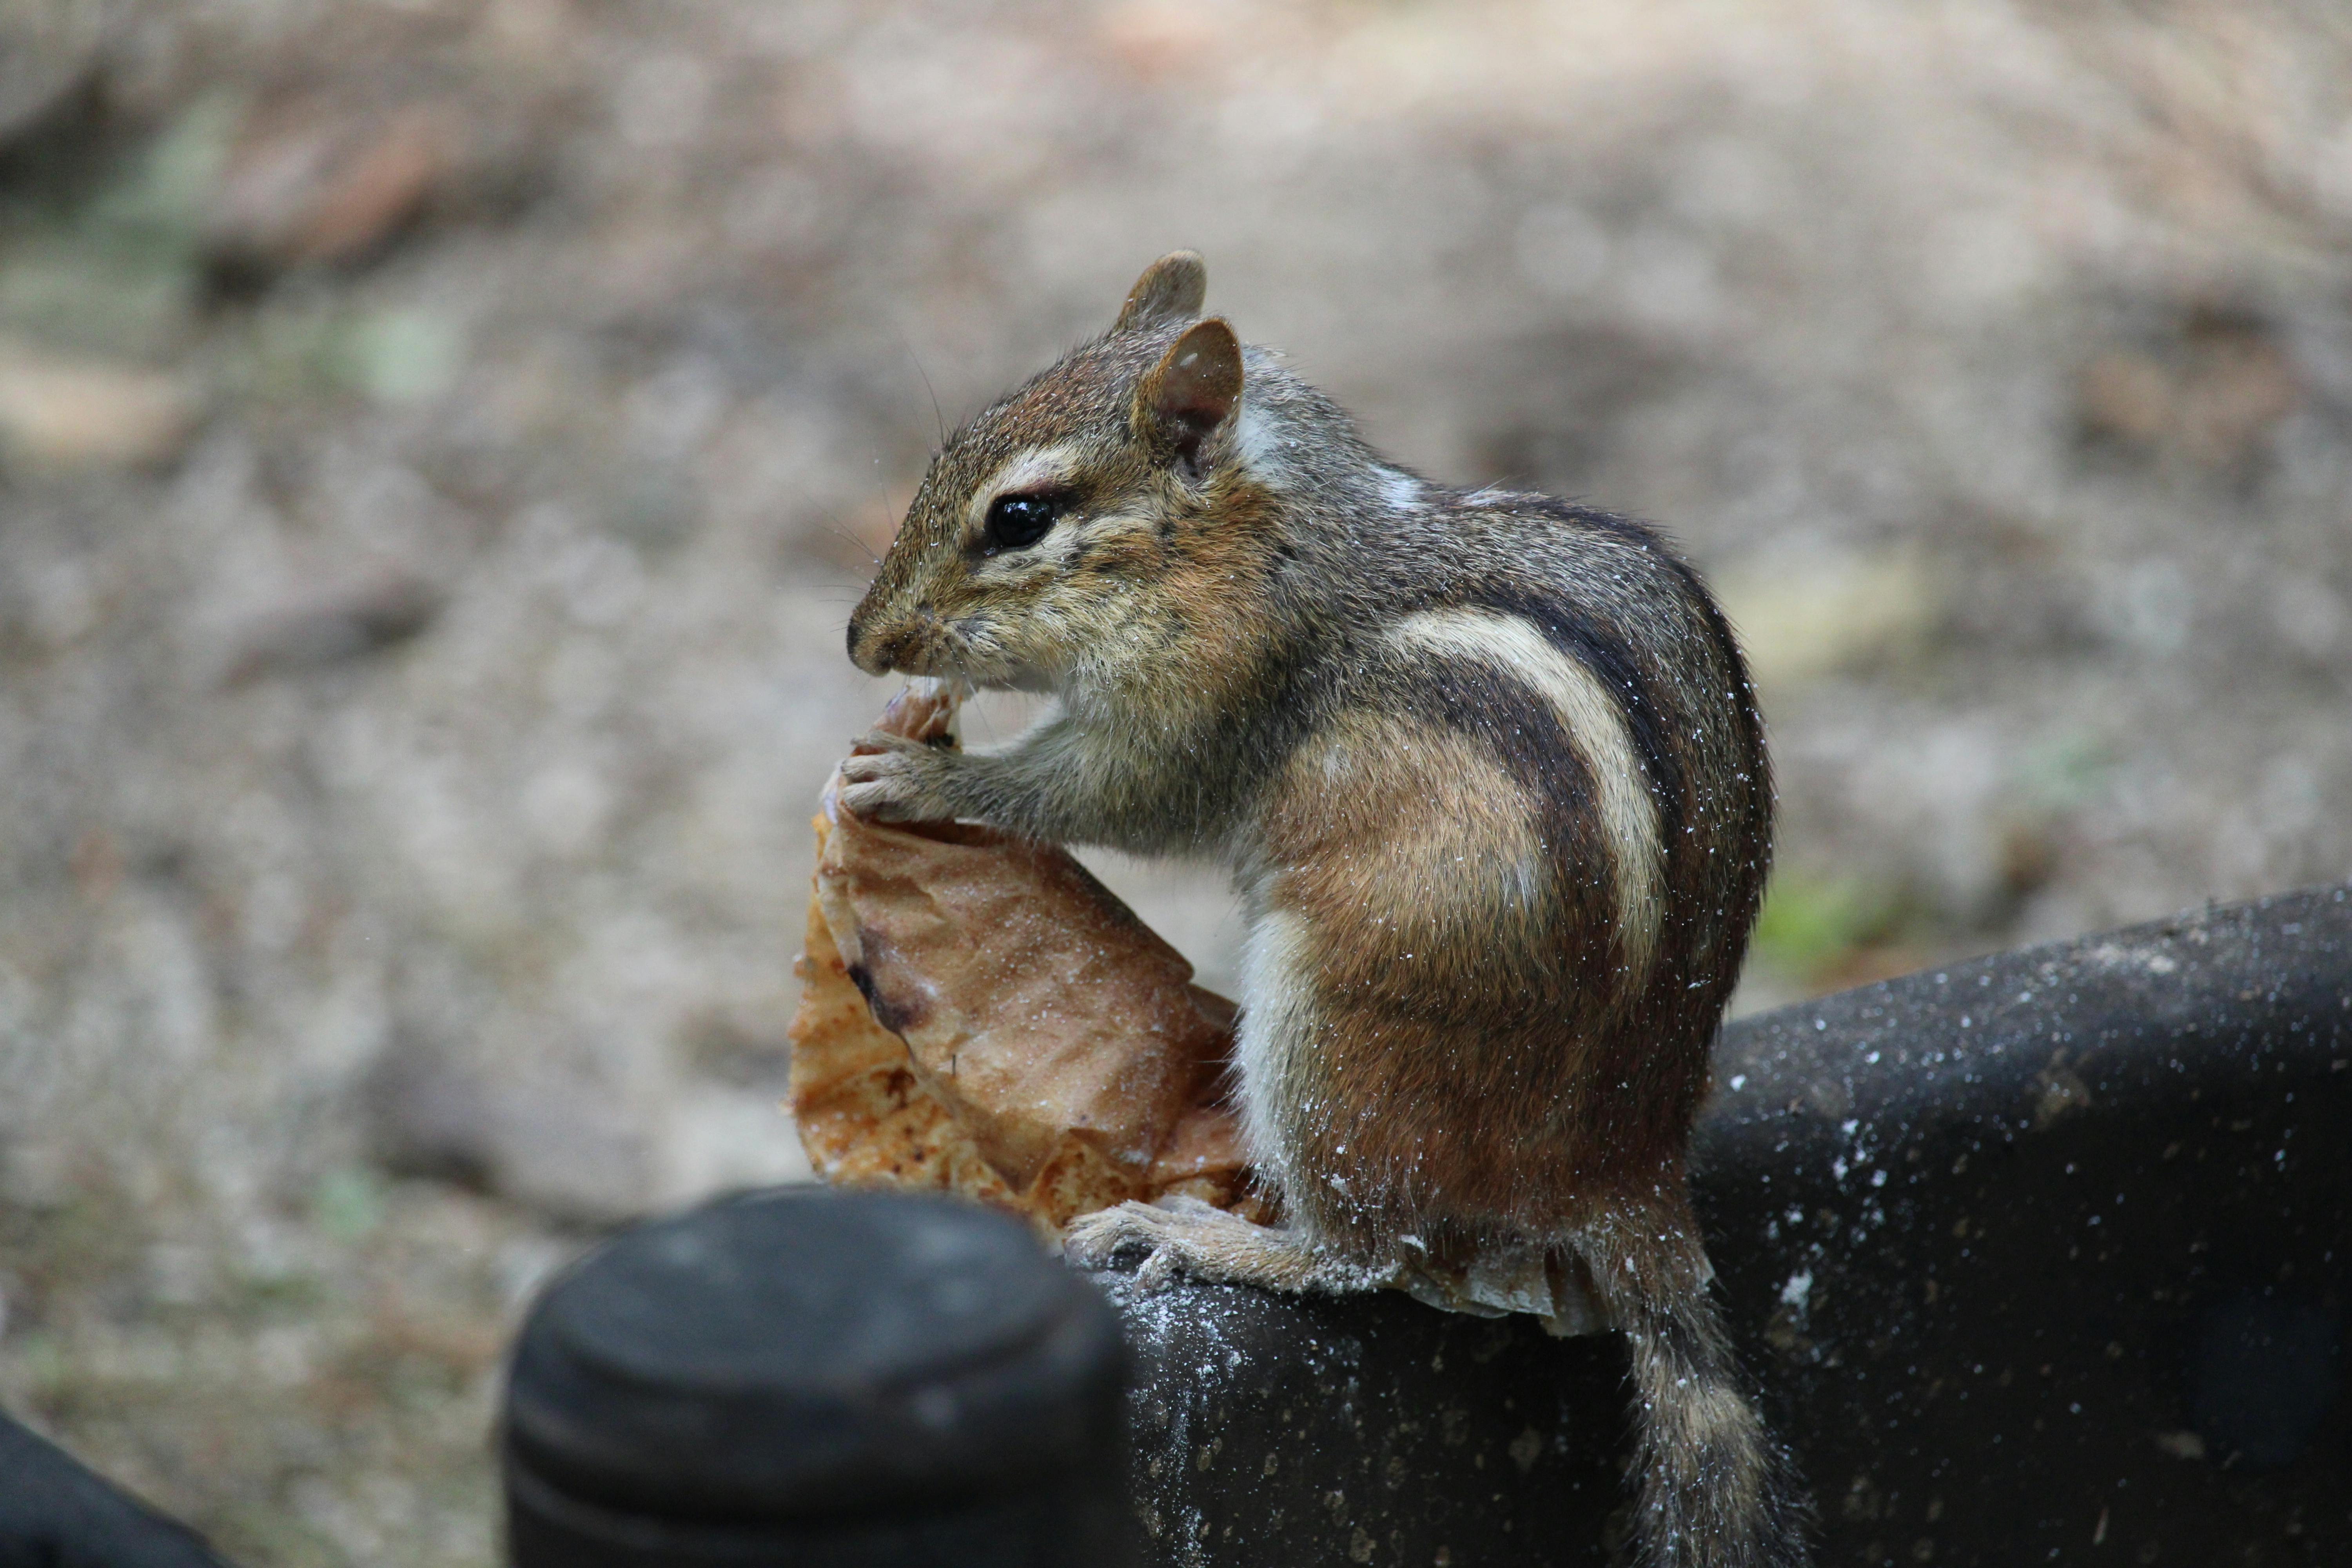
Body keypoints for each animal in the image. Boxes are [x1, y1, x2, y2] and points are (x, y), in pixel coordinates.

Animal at [840, 253, 1808, 1568]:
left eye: (1020, 518)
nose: (861, 639)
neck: (1257, 535)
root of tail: (1628, 1173)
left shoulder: (1198, 708)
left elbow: (1102, 793)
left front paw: (918, 776)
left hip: (1334, 1036)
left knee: (1365, 1257)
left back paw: (1213, 1237)